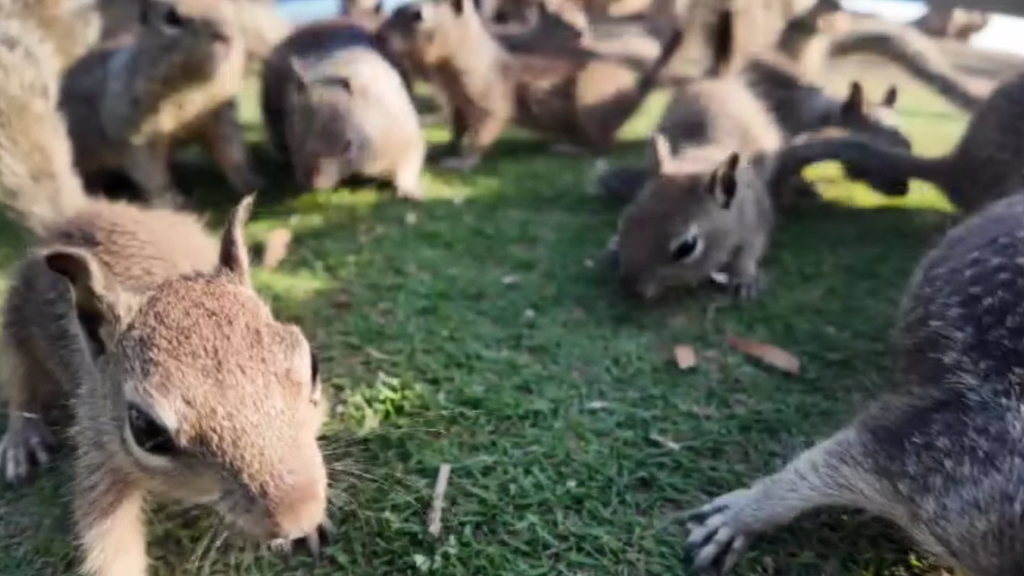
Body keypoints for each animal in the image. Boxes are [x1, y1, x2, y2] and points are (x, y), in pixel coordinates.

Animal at [59, 0, 258, 209]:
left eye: (230, 9)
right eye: (171, 18)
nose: (225, 36)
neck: (193, 90)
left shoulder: (222, 115)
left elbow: (232, 151)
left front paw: (252, 182)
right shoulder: (138, 134)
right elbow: (153, 174)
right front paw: (177, 203)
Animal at [261, 18, 427, 198]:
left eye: (347, 146)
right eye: (295, 140)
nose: (313, 185)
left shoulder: (403, 133)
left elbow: (409, 162)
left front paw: (411, 192)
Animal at [376, 0, 683, 172]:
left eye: (417, 16)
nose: (378, 36)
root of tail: (638, 89)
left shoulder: (488, 99)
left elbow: (485, 130)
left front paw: (462, 162)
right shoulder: (458, 102)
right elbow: (458, 128)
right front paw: (445, 148)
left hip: (590, 103)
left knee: (604, 146)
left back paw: (569, 149)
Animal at [607, 133, 775, 301]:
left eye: (687, 247)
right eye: (625, 222)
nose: (629, 285)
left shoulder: (754, 223)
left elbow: (747, 253)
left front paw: (744, 278)